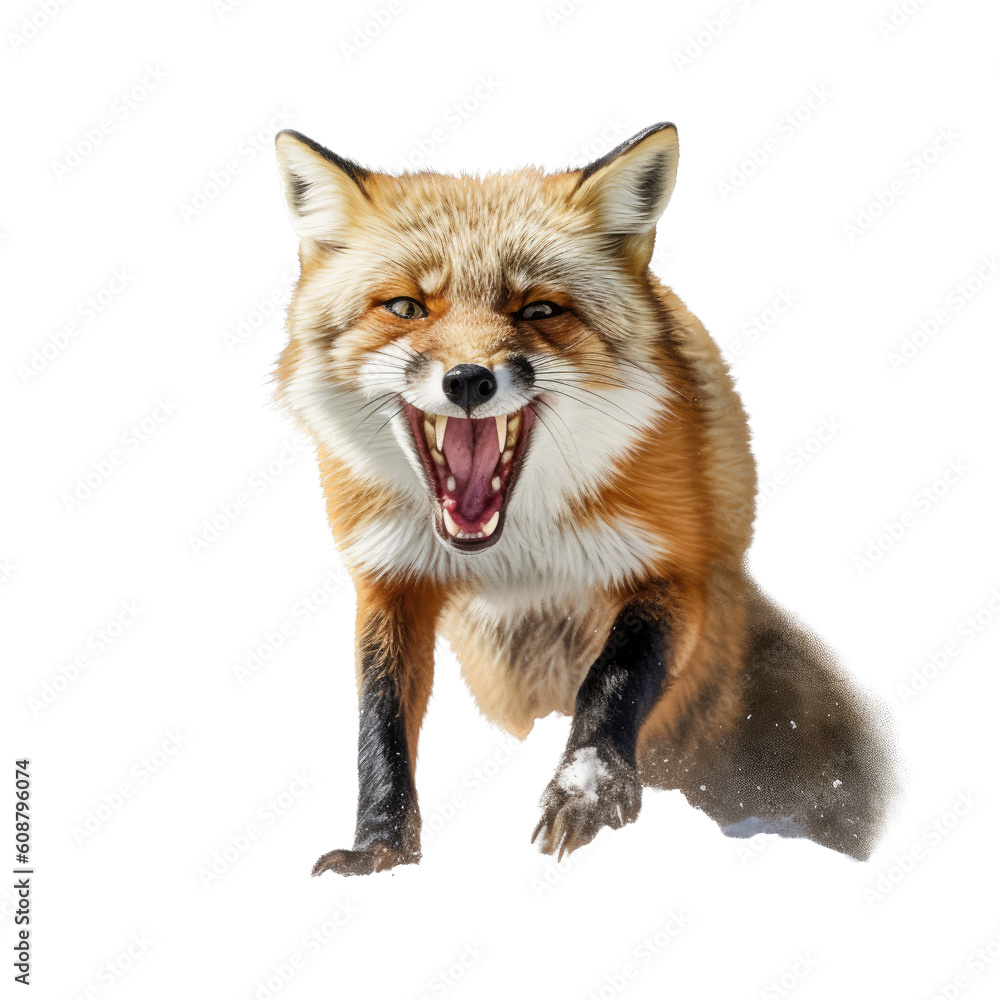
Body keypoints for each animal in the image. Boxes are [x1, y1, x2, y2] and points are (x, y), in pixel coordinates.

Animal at [272, 123, 899, 876]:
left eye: (539, 309)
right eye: (405, 307)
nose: (469, 380)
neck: (513, 558)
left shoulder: (675, 570)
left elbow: (612, 678)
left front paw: (588, 794)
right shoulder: (391, 580)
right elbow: (381, 721)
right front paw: (381, 848)